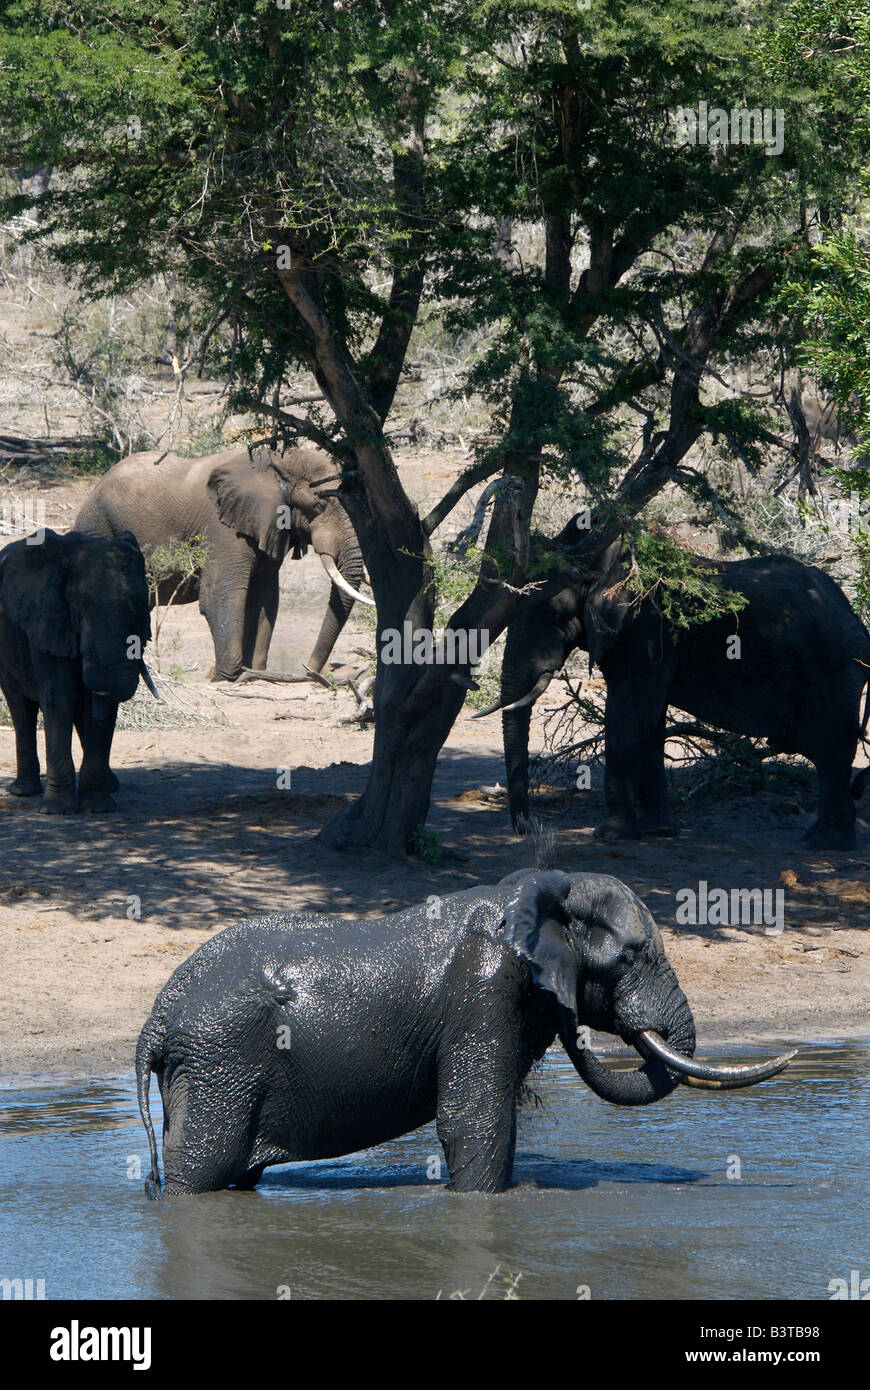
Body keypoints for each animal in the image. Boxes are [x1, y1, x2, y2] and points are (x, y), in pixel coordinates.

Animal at [0, 528, 155, 813]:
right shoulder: (47, 618)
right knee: (20, 708)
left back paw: (110, 786)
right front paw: (57, 810)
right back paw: (23, 791)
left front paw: (98, 808)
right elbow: (59, 698)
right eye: (81, 607)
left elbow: (97, 708)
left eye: (142, 607)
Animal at [74, 442, 373, 683]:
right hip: (98, 526)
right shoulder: (223, 529)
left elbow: (265, 598)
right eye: (319, 505)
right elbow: (221, 594)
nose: (308, 670)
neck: (279, 462)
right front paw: (226, 678)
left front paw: (256, 673)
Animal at [136, 868, 793, 1196]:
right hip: (222, 1064)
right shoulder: (483, 992)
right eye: (633, 956)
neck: (535, 896)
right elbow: (475, 1119)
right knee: (203, 1169)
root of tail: (156, 1023)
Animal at [479, 530, 870, 851]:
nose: (529, 828)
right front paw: (658, 830)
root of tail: (855, 619)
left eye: (545, 611)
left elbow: (628, 715)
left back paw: (825, 844)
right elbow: (650, 722)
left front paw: (611, 835)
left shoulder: (646, 631)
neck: (607, 557)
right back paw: (819, 837)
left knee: (829, 751)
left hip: (831, 671)